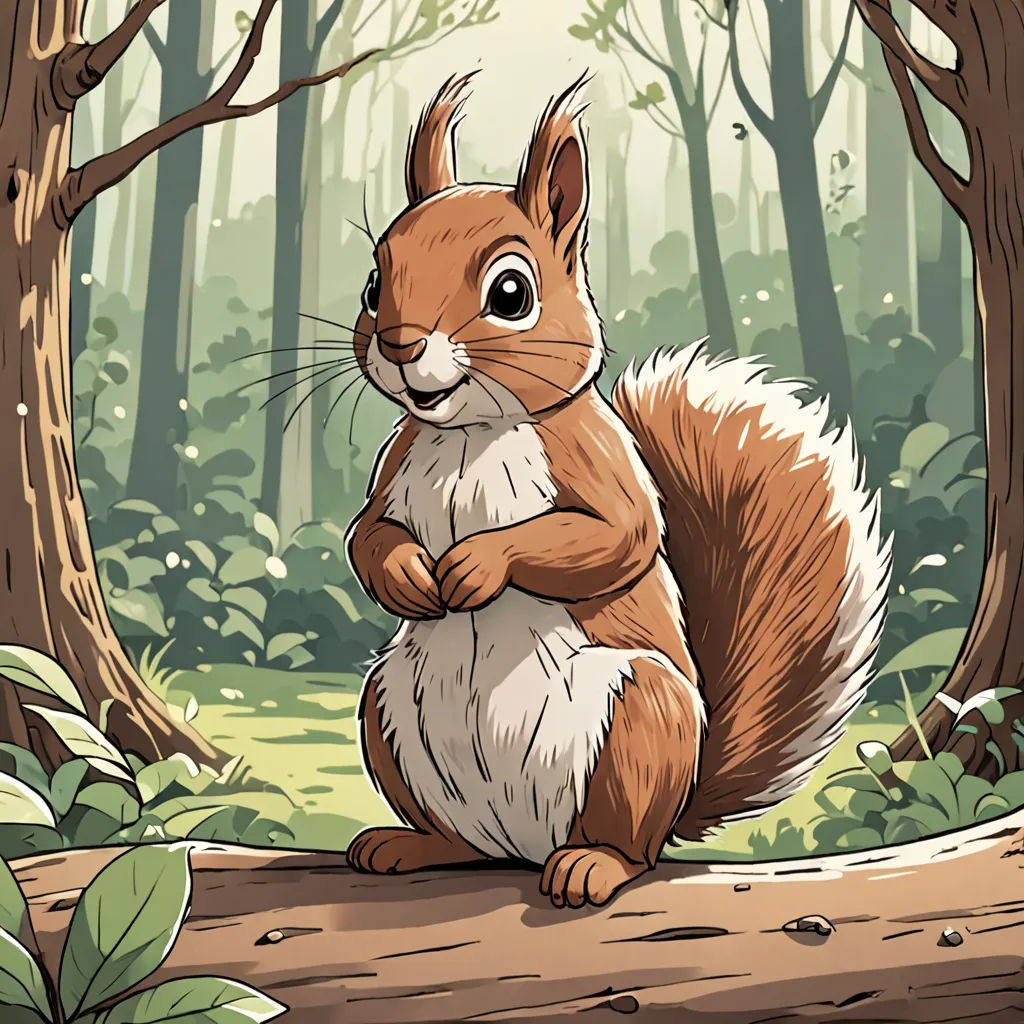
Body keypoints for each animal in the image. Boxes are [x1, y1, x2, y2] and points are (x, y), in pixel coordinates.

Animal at [344, 72, 892, 908]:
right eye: (375, 283)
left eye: (511, 293)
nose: (399, 346)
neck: (471, 433)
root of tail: (524, 845)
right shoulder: (395, 464)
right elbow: (369, 534)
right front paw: (408, 573)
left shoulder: (599, 462)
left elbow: (614, 537)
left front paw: (476, 565)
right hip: (386, 708)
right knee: (462, 841)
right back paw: (414, 845)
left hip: (642, 718)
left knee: (629, 841)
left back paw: (593, 866)